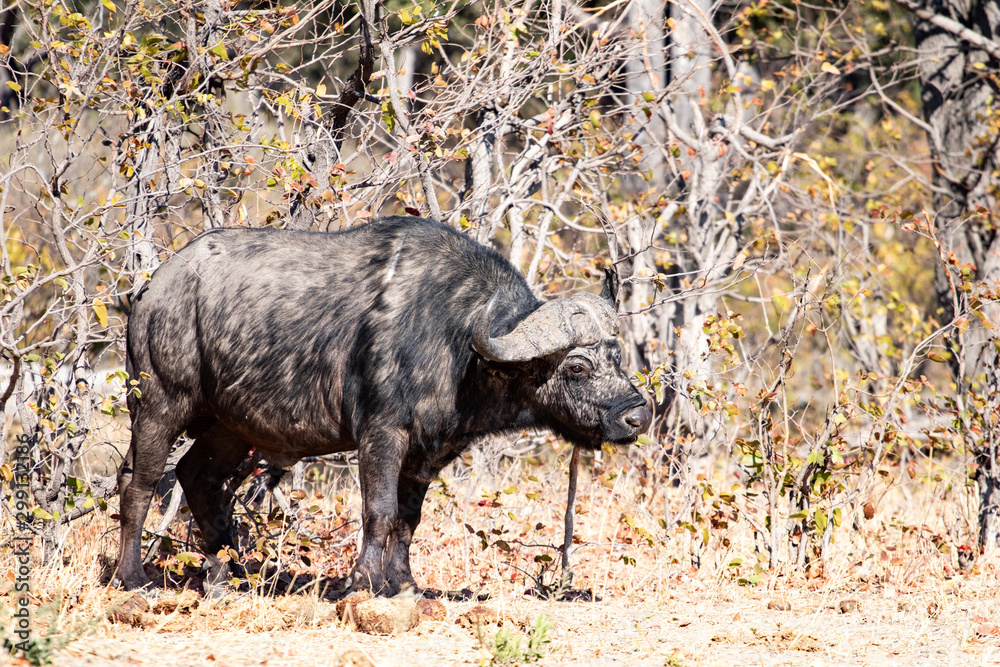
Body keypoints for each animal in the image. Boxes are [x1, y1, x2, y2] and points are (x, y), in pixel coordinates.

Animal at [115, 216, 651, 595]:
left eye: (617, 355)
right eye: (576, 367)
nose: (637, 416)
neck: (458, 342)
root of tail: (152, 290)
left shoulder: (429, 451)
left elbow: (408, 519)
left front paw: (404, 583)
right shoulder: (381, 433)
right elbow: (379, 509)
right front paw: (364, 581)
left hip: (231, 426)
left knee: (198, 477)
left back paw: (227, 577)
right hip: (158, 403)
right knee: (138, 482)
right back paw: (133, 577)